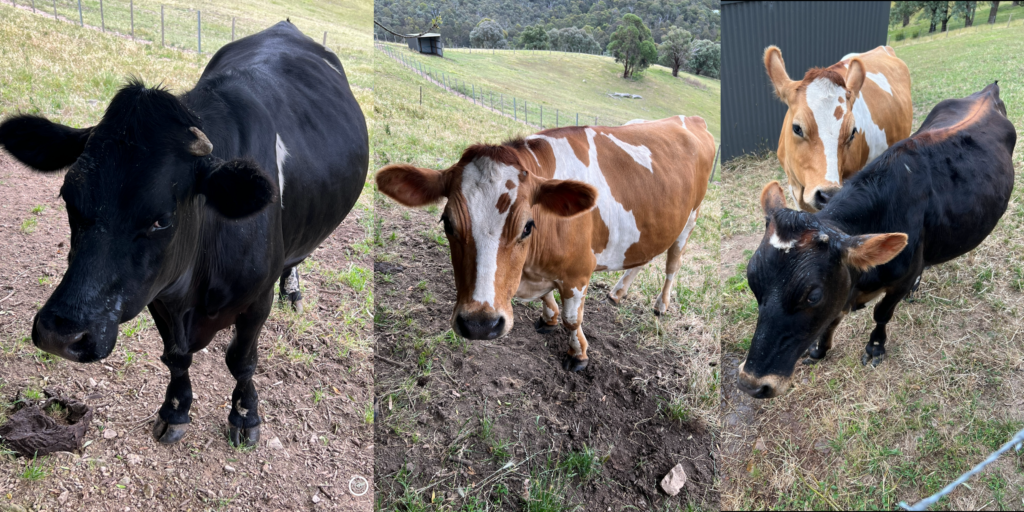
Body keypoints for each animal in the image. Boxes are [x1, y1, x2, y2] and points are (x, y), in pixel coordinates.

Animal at [0, 21, 369, 445]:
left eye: (161, 219)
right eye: (67, 197)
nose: (61, 334)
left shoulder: (256, 299)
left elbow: (242, 361)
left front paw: (245, 415)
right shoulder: (158, 294)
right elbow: (176, 358)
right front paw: (175, 411)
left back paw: (292, 290)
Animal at [376, 116, 715, 371]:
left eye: (527, 226)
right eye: (447, 223)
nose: (480, 324)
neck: (531, 267)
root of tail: (690, 118)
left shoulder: (579, 272)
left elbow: (571, 319)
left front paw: (578, 354)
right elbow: (548, 301)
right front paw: (548, 317)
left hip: (691, 218)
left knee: (673, 262)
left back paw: (661, 304)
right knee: (645, 256)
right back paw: (619, 292)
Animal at [738, 83, 1015, 399]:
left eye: (813, 295)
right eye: (752, 280)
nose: (752, 383)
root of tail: (987, 91)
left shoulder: (899, 279)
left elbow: (882, 313)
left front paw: (875, 347)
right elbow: (833, 318)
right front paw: (820, 349)